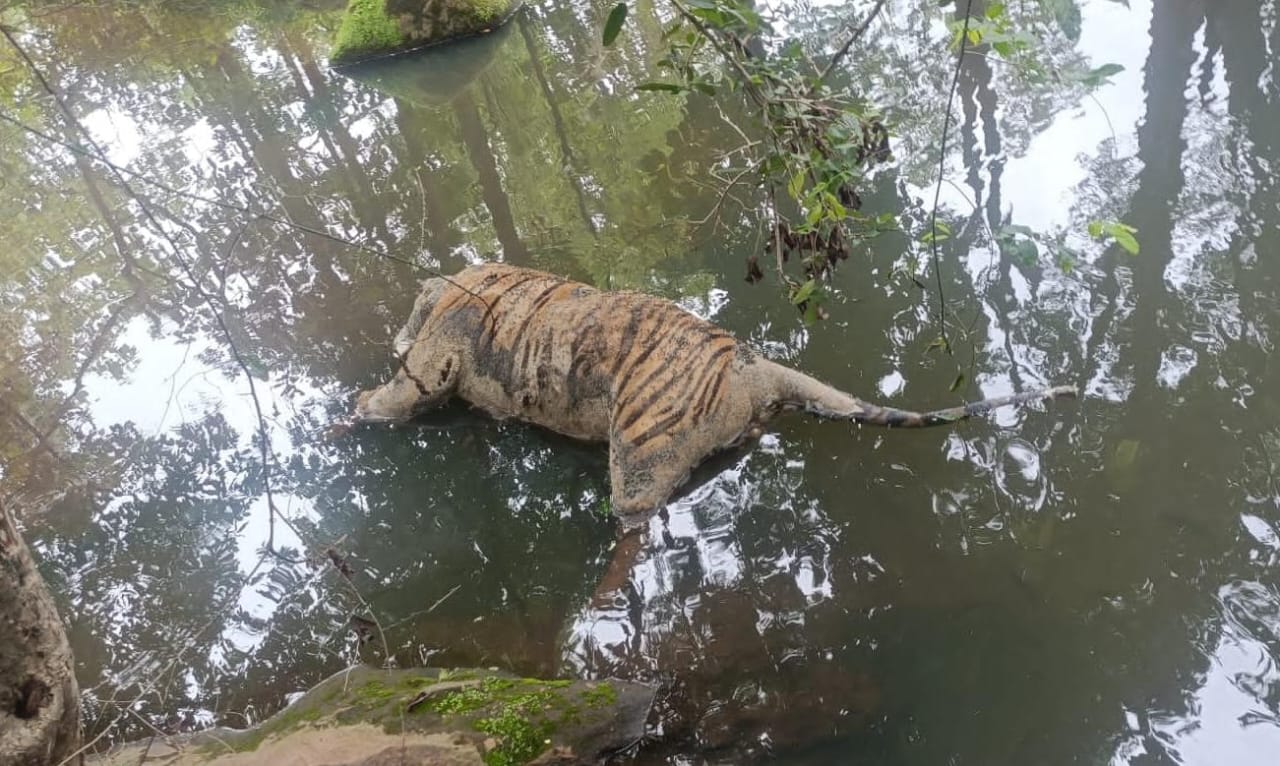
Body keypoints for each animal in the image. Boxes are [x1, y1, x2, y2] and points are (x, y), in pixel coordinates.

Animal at [354, 263, 1076, 524]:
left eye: (409, 317)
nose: (393, 335)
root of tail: (751, 366)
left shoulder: (436, 354)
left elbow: (401, 395)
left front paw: (354, 412)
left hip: (640, 446)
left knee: (637, 511)